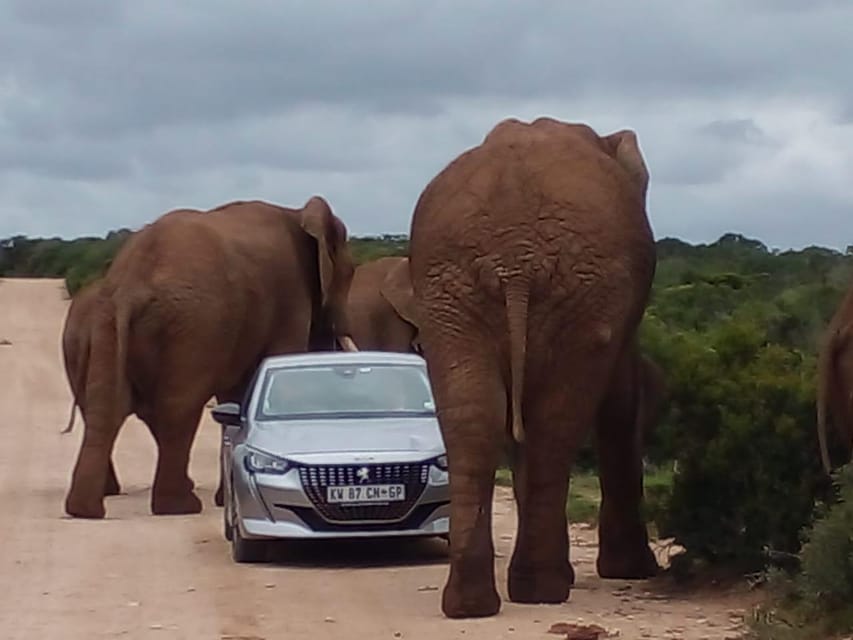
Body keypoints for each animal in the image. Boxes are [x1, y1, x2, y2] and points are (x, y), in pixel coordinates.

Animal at [63, 196, 358, 519]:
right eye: (350, 273)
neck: (296, 213)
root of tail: (131, 284)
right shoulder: (291, 296)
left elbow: (236, 399)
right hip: (196, 324)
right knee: (178, 407)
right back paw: (180, 506)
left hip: (109, 320)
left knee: (106, 407)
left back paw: (84, 510)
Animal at [406, 117, 657, 618]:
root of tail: (514, 259)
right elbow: (621, 404)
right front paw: (634, 570)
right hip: (578, 292)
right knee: (555, 422)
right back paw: (542, 590)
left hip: (453, 293)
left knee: (476, 416)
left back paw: (472, 604)